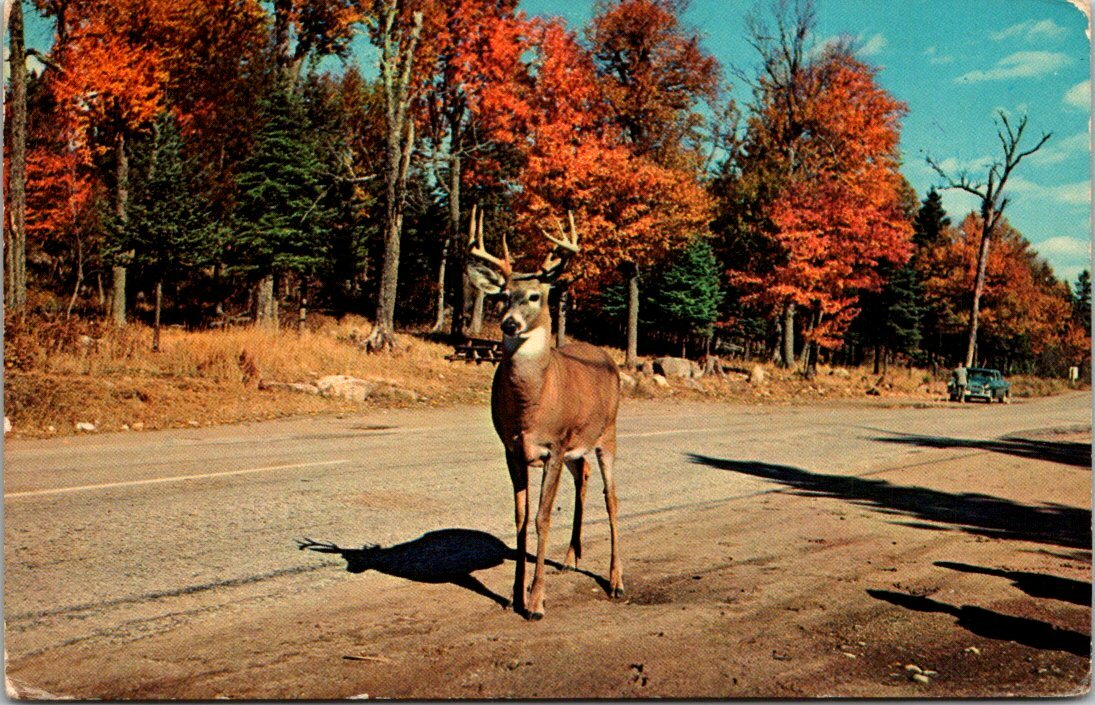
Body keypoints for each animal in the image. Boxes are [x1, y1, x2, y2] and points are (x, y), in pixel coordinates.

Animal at [465, 205, 623, 621]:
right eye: (503, 296)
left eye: (535, 295)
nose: (509, 323)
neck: (533, 404)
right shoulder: (513, 449)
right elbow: (520, 519)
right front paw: (513, 595)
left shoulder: (554, 445)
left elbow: (542, 517)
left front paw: (536, 602)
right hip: (577, 446)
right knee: (583, 478)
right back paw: (570, 558)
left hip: (608, 433)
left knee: (611, 497)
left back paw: (616, 581)